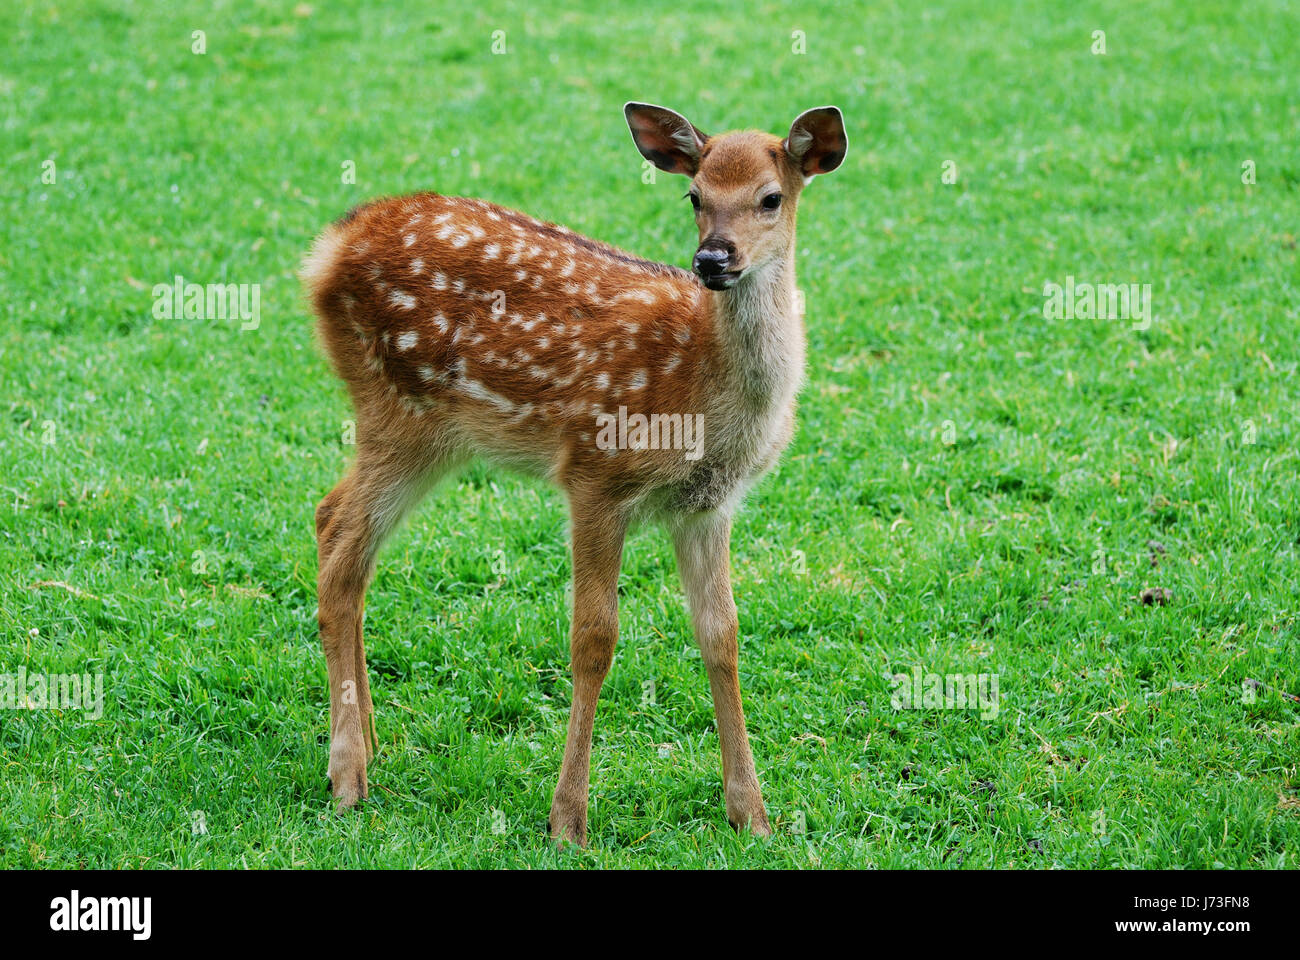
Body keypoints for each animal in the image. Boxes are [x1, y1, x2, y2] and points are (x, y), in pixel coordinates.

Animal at [300, 102, 847, 846]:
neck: (702, 393)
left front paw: (752, 816)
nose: (712, 259)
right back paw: (348, 777)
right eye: (694, 195)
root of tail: (327, 249)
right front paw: (568, 819)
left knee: (341, 534)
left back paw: (371, 745)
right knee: (338, 540)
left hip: (425, 433)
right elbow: (594, 639)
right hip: (398, 410)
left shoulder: (708, 505)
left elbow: (723, 635)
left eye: (771, 198)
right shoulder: (595, 474)